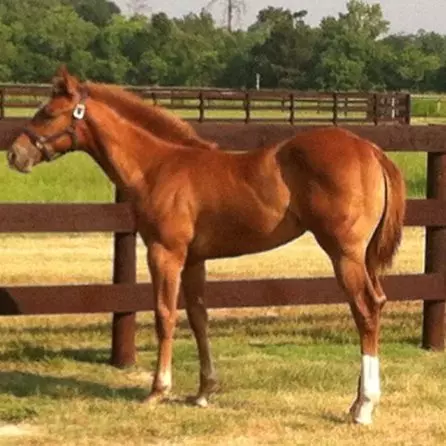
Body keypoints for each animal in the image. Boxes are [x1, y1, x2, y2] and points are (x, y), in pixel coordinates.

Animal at [7, 67, 404, 426]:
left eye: (47, 112)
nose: (15, 155)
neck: (158, 166)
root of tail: (371, 150)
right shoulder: (195, 260)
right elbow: (199, 317)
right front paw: (204, 392)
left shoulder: (164, 253)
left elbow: (164, 314)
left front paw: (158, 390)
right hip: (364, 257)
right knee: (378, 304)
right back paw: (356, 403)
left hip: (344, 253)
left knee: (365, 309)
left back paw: (364, 407)